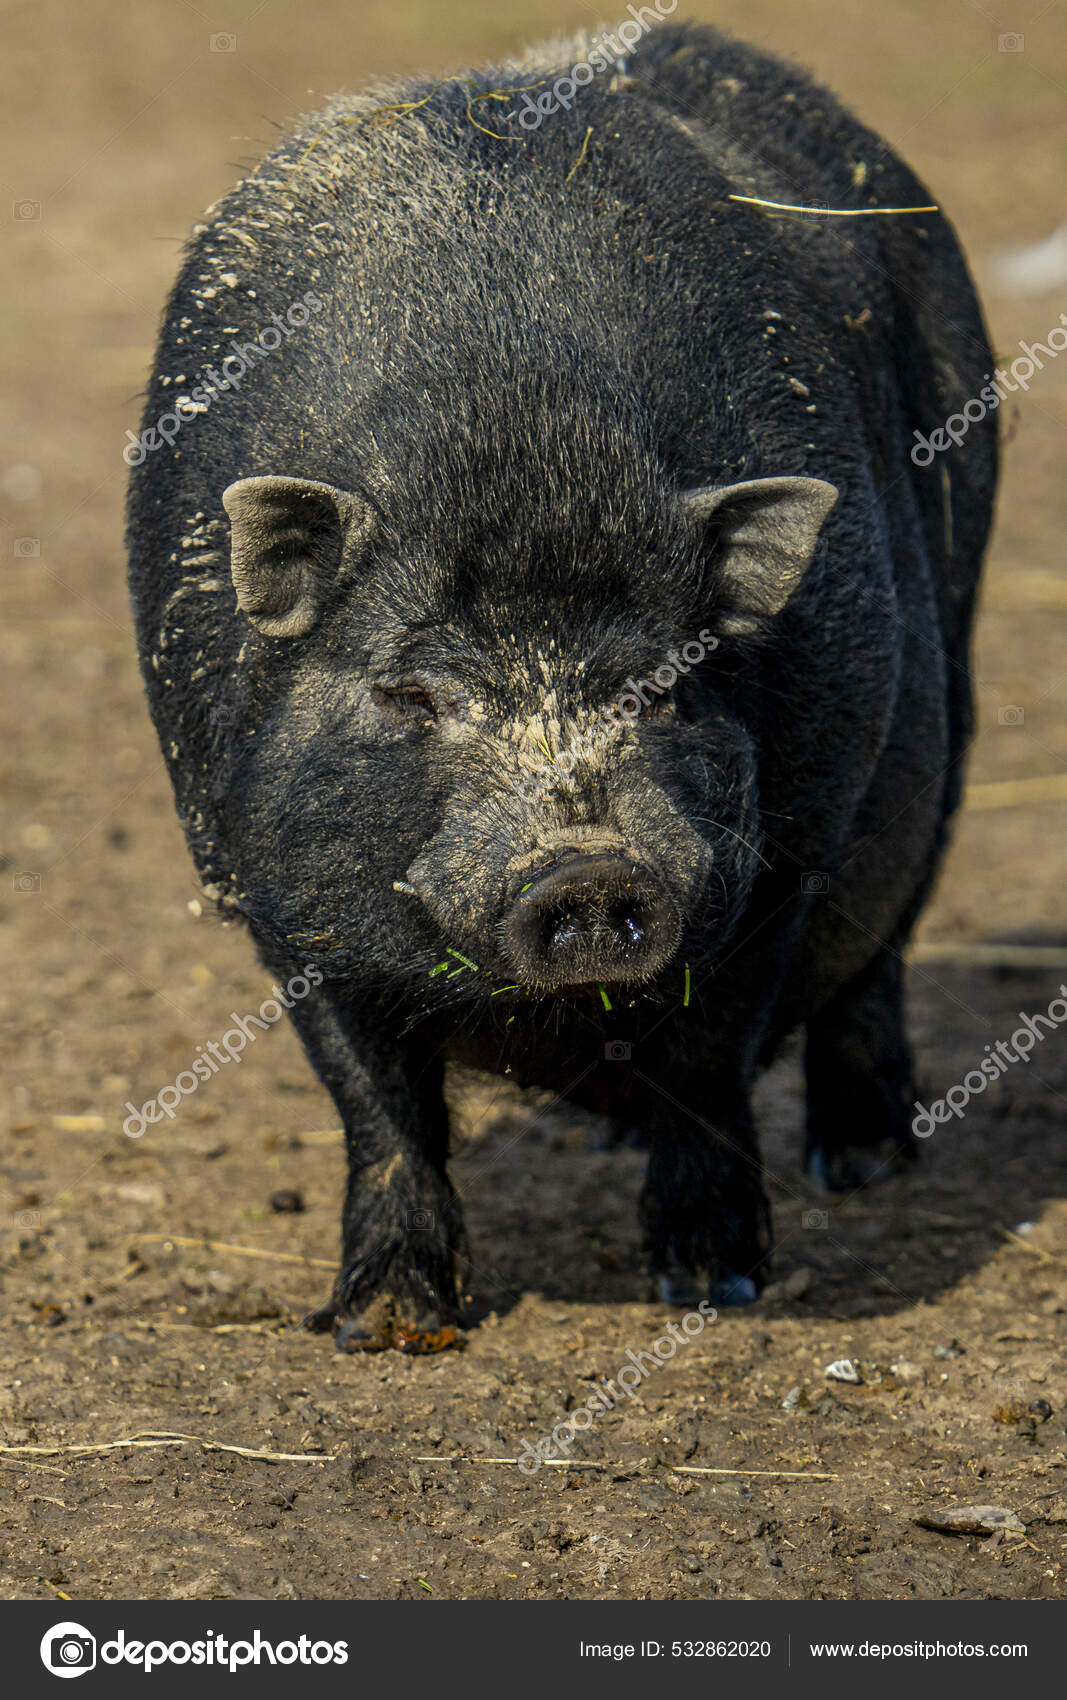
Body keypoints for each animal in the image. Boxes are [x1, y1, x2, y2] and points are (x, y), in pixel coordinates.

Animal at [126, 21, 997, 1346]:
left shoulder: (781, 856)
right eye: (410, 695)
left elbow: (706, 1064)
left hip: (944, 701)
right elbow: (377, 1103)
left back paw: (857, 1165)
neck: (517, 440)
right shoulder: (269, 887)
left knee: (878, 958)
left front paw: (711, 1286)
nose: (585, 868)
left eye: (669, 687)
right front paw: (383, 1327)